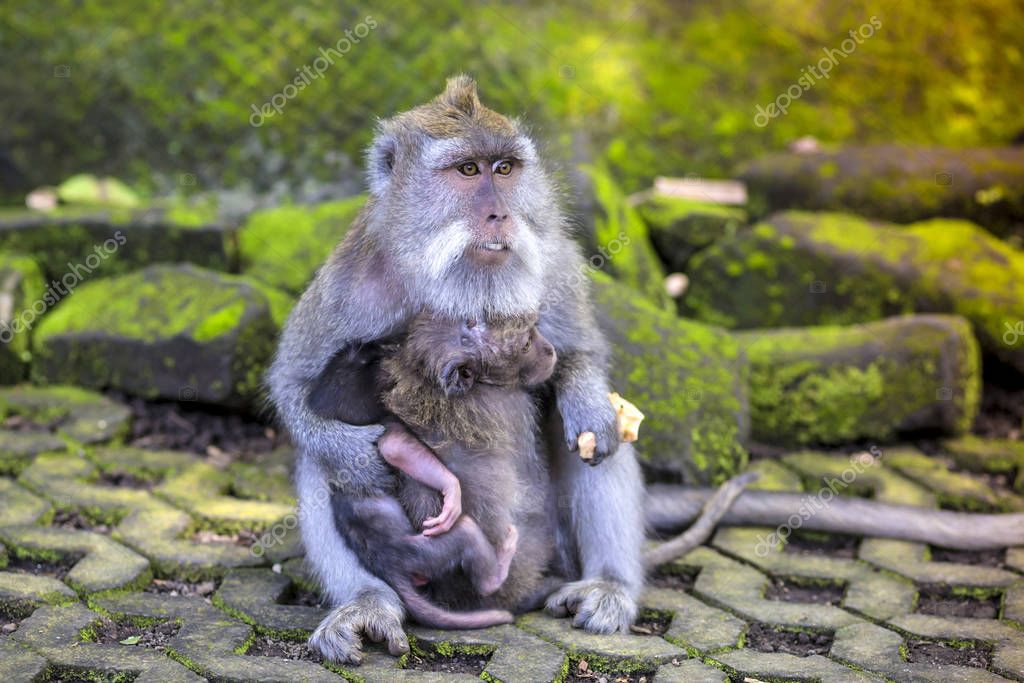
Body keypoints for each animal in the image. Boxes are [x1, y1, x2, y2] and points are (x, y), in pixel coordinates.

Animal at [314, 312, 559, 629]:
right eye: (527, 344)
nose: (551, 350)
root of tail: (390, 566)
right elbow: (395, 442)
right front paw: (451, 490)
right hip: (427, 550)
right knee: (468, 535)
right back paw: (499, 567)